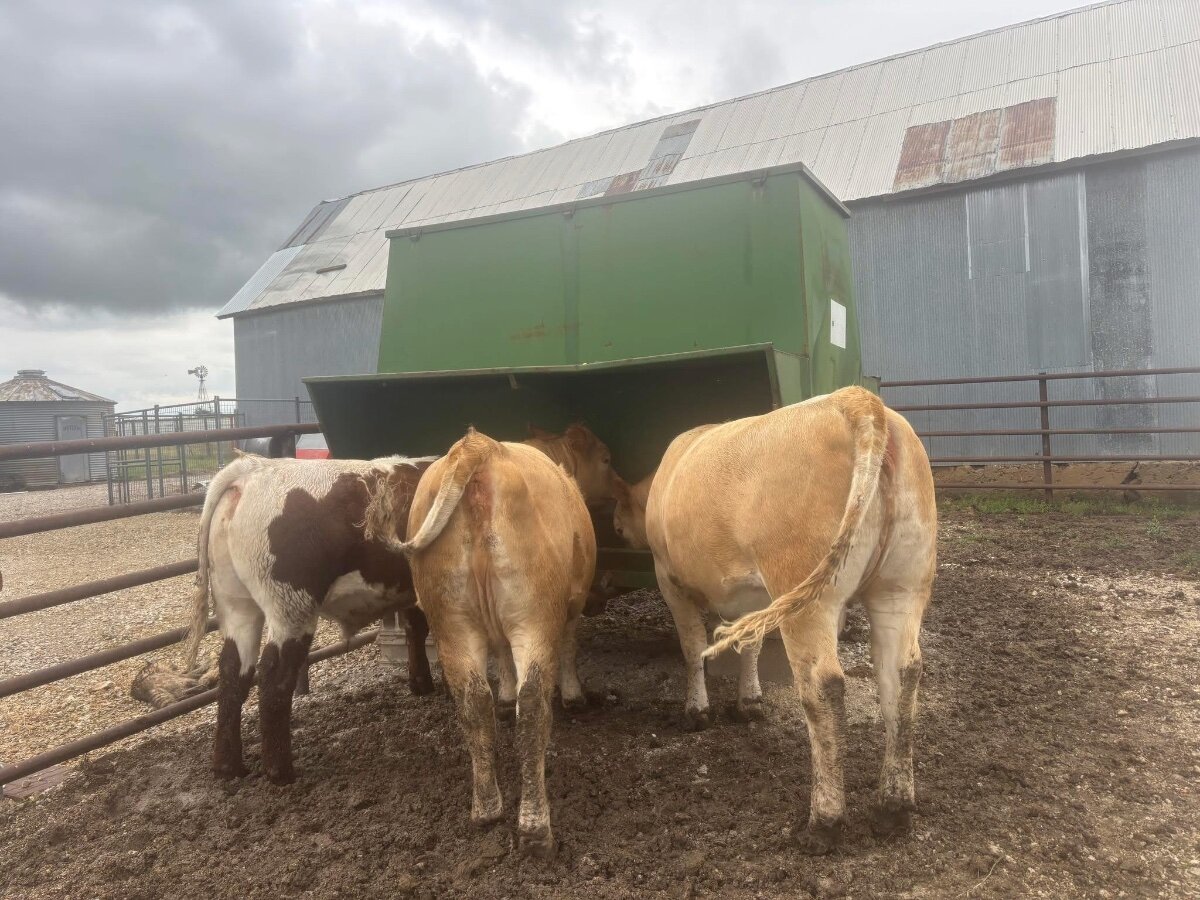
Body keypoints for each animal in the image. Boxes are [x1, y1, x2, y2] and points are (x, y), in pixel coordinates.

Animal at [135, 452, 435, 784]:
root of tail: (252, 470)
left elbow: (416, 629)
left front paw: (421, 684)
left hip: (237, 606)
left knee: (232, 673)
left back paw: (228, 767)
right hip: (291, 606)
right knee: (274, 677)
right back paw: (280, 772)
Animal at [362, 427, 595, 859]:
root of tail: (479, 447)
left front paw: (504, 696)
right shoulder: (573, 602)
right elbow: (569, 647)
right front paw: (575, 697)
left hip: (451, 621)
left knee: (473, 702)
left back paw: (486, 808)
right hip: (534, 616)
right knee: (533, 705)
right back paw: (535, 827)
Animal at [610, 387, 937, 854]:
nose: (615, 528)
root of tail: (854, 398)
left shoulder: (668, 579)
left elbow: (692, 648)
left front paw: (697, 711)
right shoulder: (755, 597)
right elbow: (750, 644)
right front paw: (748, 703)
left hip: (806, 588)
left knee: (823, 685)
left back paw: (824, 821)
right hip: (903, 584)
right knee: (902, 675)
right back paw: (893, 808)